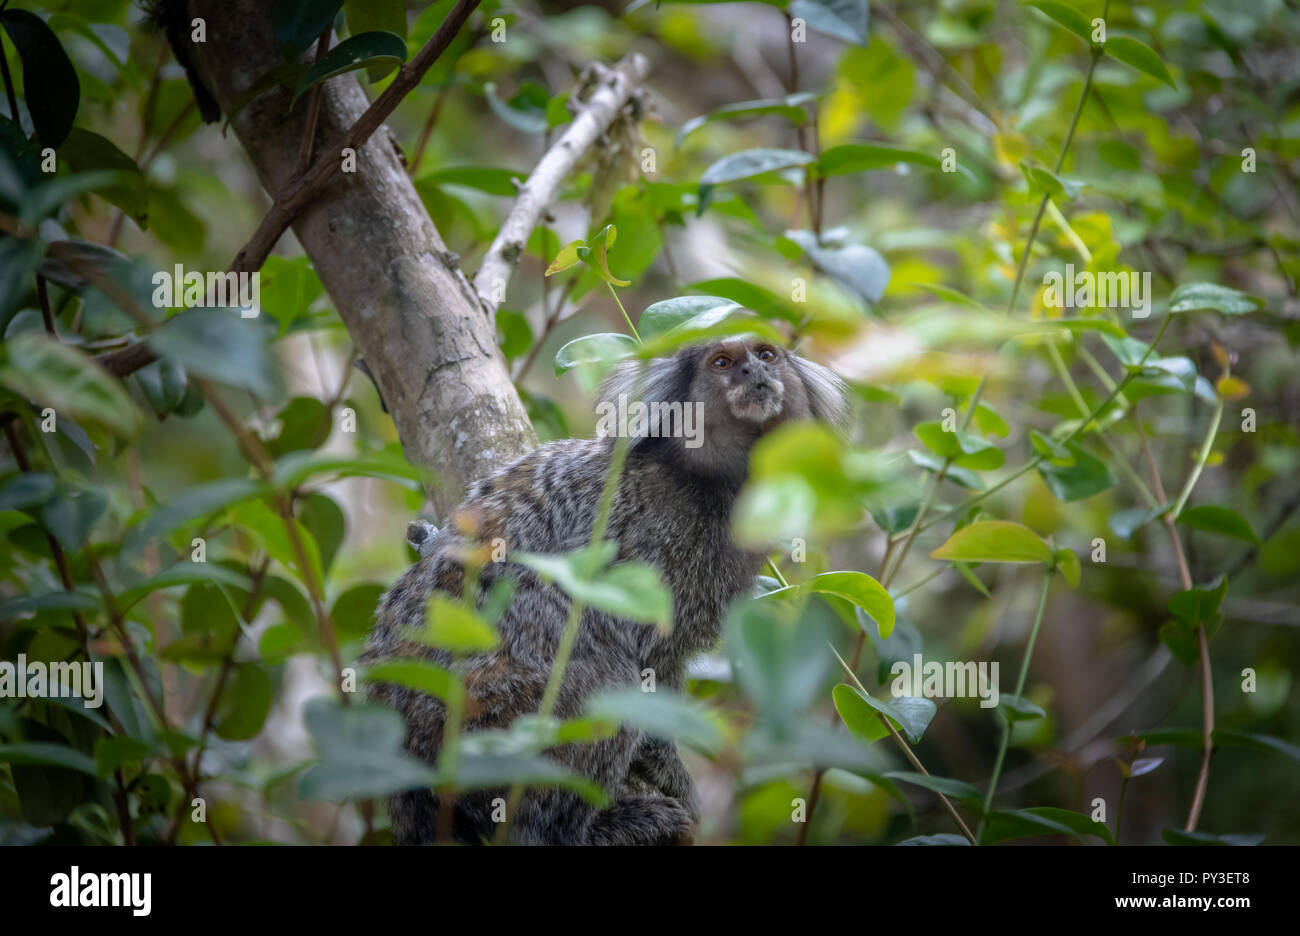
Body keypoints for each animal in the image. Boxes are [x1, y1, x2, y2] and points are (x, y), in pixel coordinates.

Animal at [361, 334, 847, 845]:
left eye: (767, 354)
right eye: (722, 363)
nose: (755, 372)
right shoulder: (656, 550)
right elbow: (648, 667)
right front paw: (674, 775)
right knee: (599, 678)